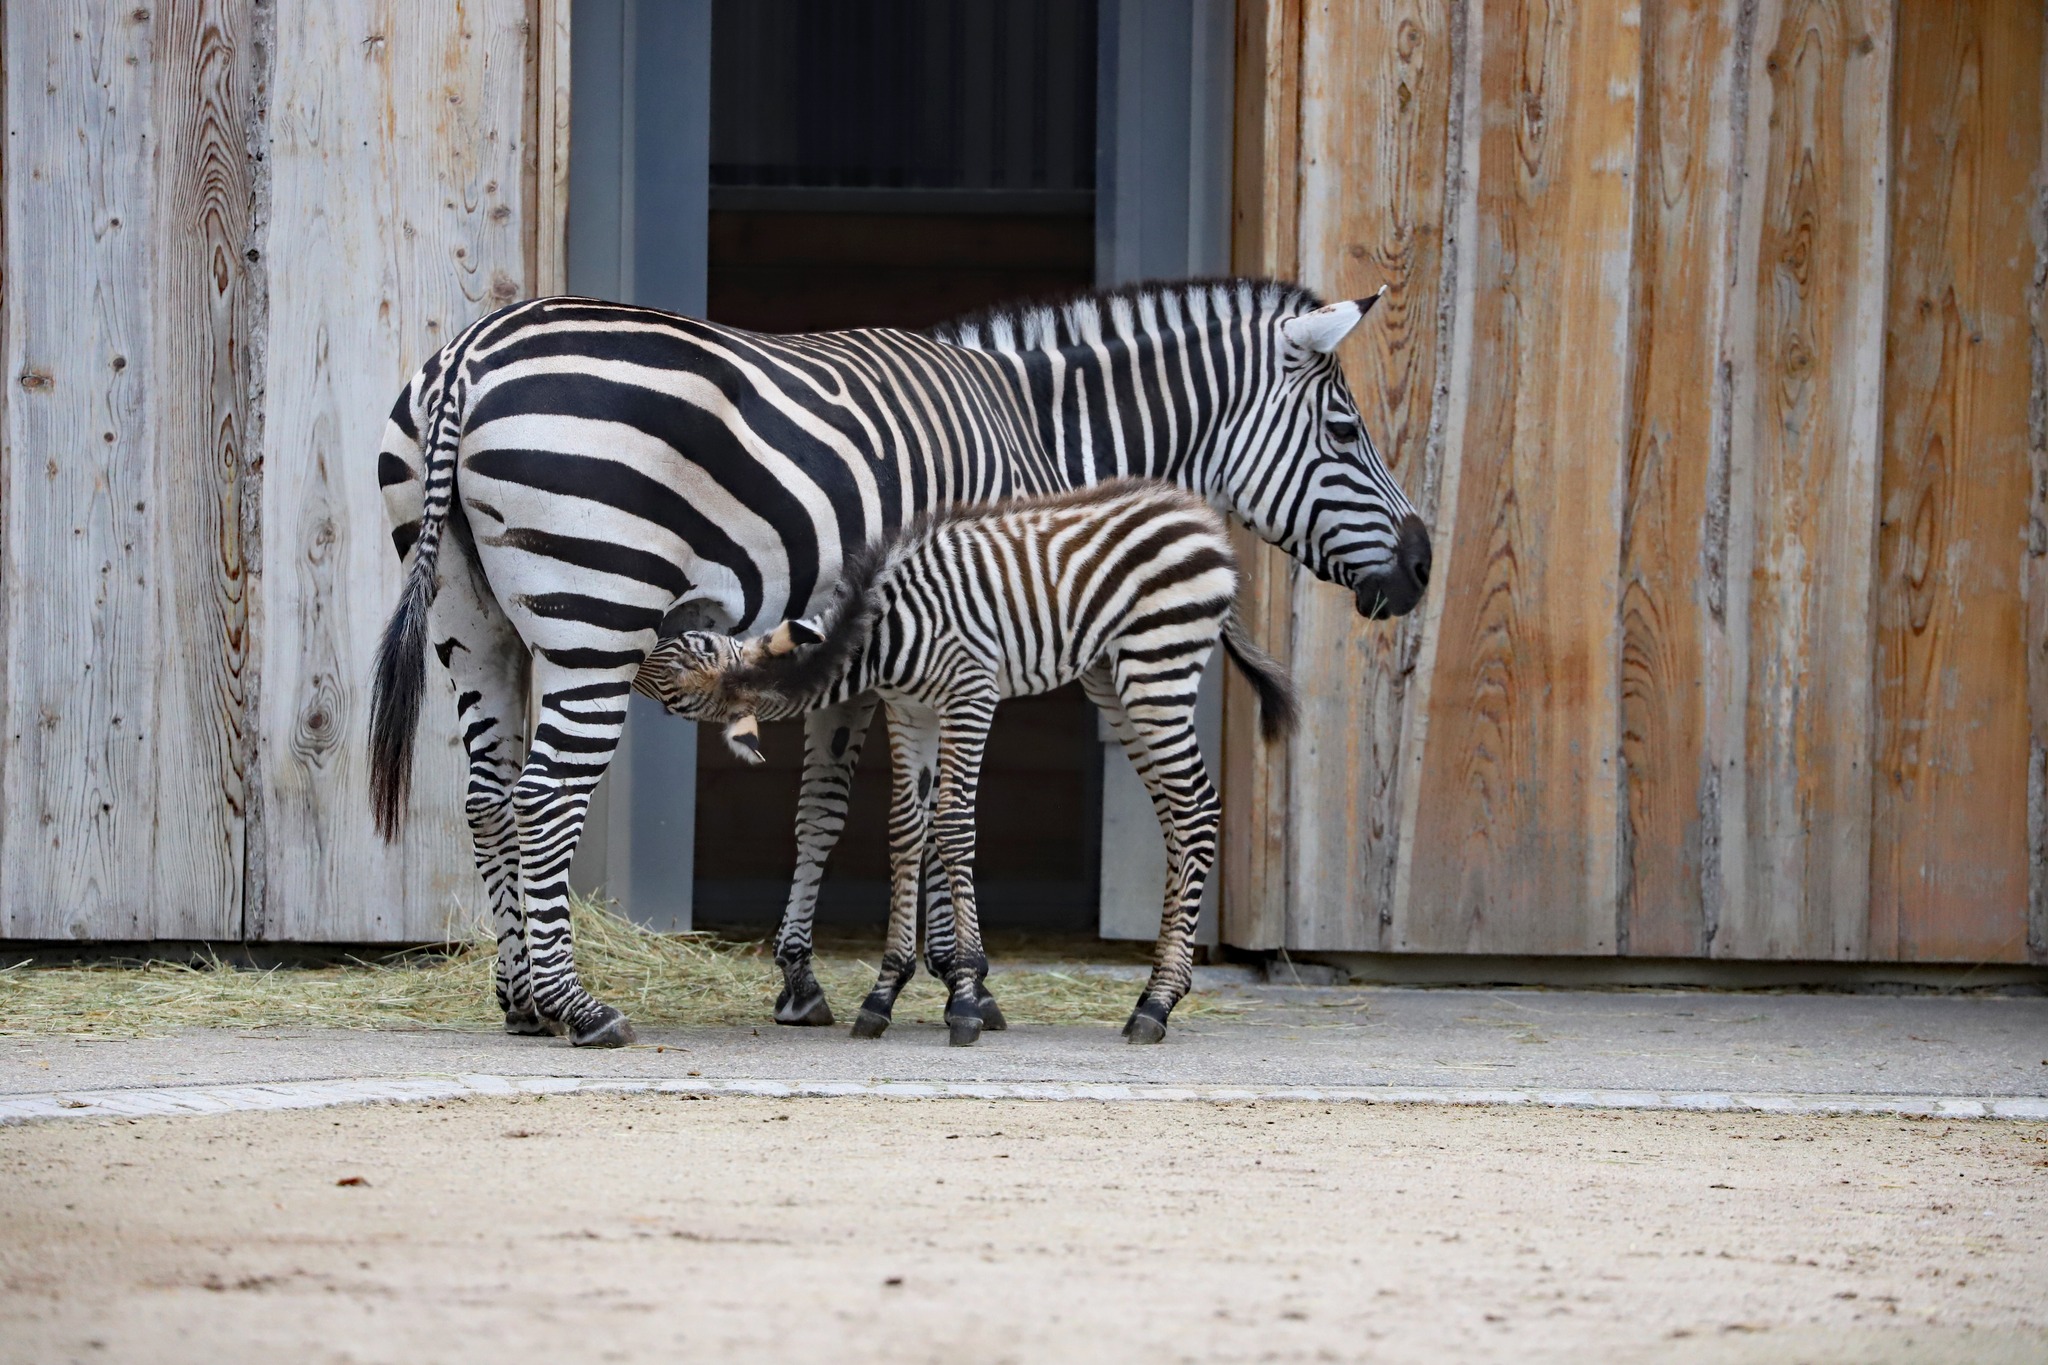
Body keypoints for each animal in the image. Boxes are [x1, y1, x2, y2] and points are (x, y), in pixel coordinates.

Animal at [635, 480, 1297, 1045]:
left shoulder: (970, 694)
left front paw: (967, 993)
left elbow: (952, 823)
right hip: (1116, 681)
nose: (651, 630)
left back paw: (1157, 1004)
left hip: (1157, 667)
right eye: (668, 691)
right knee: (1176, 817)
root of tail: (1202, 519)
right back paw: (1152, 994)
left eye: (691, 655)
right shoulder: (910, 710)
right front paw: (884, 992)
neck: (878, 632)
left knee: (1197, 808)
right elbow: (906, 828)